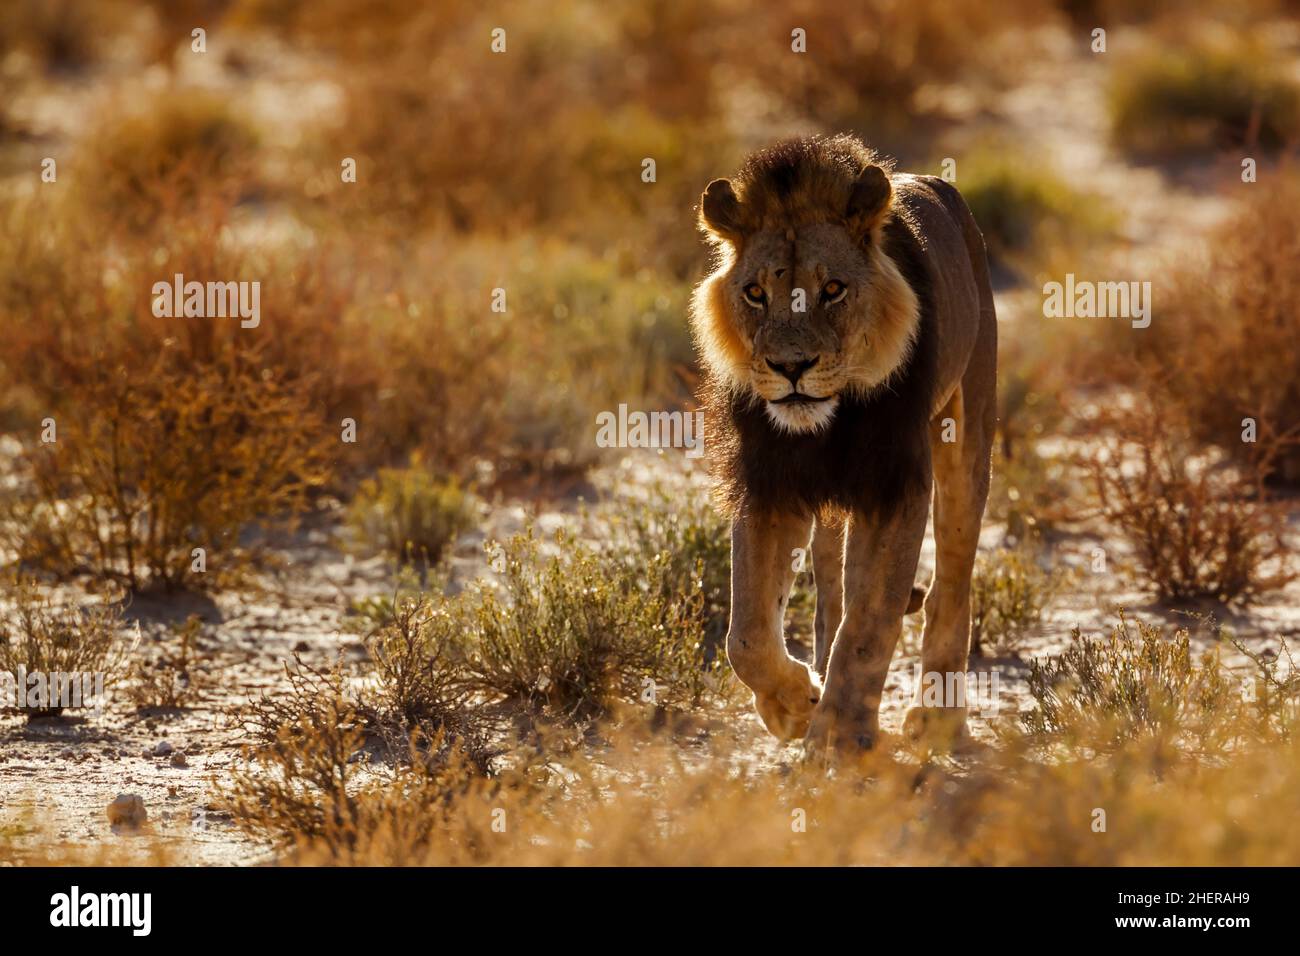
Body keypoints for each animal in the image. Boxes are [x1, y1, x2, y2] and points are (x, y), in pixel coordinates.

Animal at [691, 134, 997, 758]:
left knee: (949, 583)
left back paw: (940, 719)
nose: (791, 368)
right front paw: (794, 706)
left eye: (832, 290)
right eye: (755, 294)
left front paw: (840, 735)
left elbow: (869, 626)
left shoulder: (895, 485)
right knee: (834, 593)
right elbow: (747, 635)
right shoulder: (768, 486)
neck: (824, 426)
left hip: (969, 427)